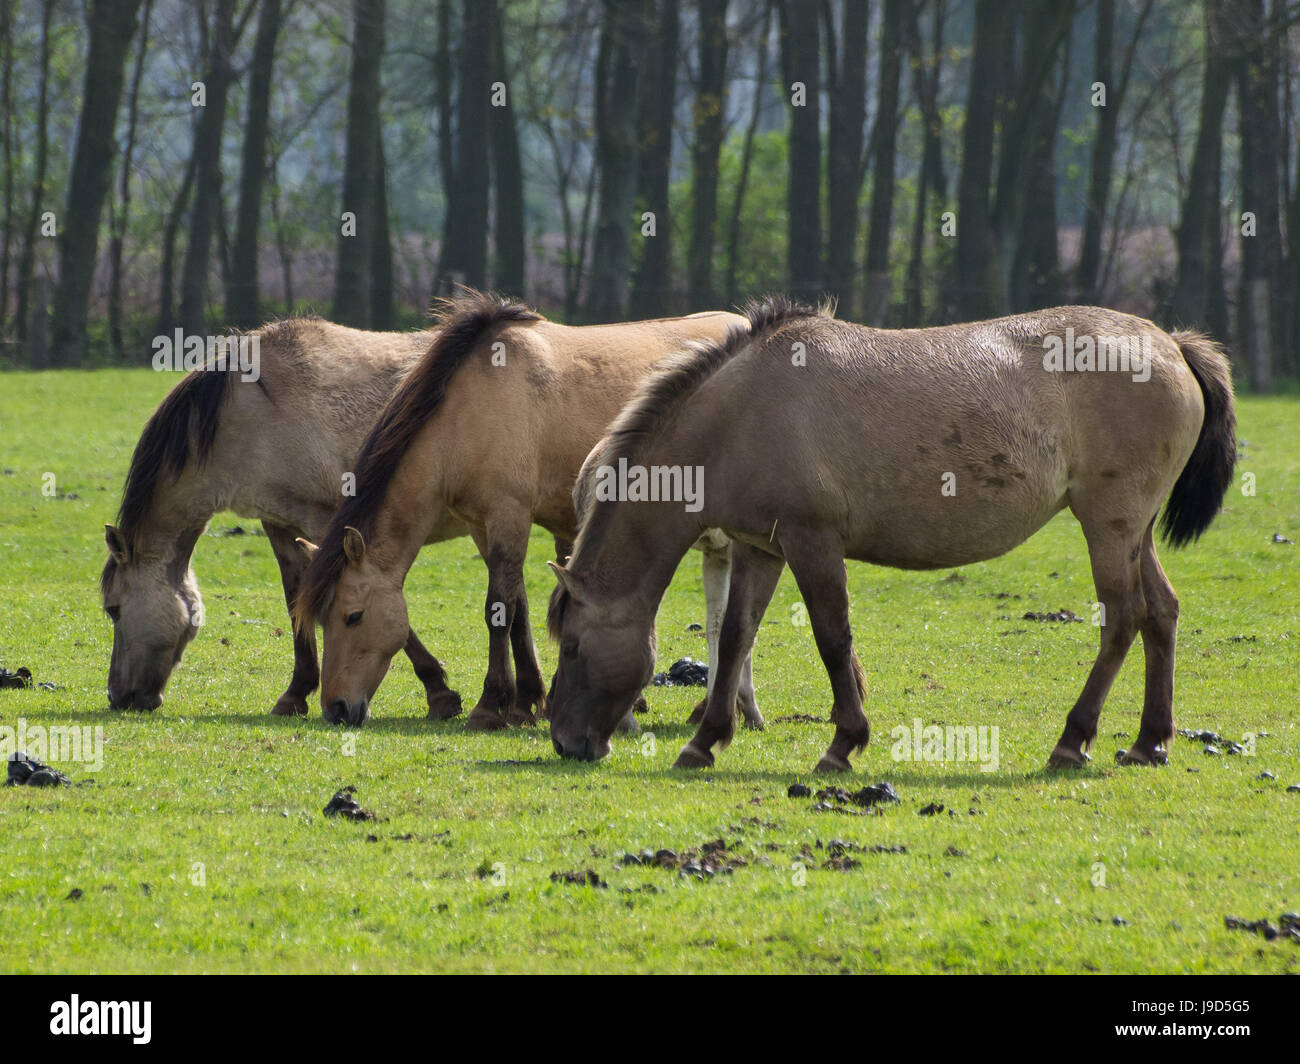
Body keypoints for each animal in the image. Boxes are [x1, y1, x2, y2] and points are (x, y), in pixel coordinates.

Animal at [101, 318, 464, 718]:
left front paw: (439, 691)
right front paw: (296, 693)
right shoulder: (280, 523)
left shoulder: (334, 526)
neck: (255, 416)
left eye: (113, 609)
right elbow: (296, 598)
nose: (117, 696)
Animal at [293, 292, 761, 731]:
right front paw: (525, 702)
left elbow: (497, 610)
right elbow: (516, 610)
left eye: (353, 616)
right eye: (323, 620)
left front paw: (489, 706)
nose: (336, 708)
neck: (471, 407)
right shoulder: (483, 526)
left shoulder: (509, 515)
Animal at [545, 297, 1236, 773]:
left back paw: (1073, 740)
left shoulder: (812, 543)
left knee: (1123, 616)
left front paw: (843, 744)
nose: (563, 739)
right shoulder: (759, 548)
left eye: (573, 646)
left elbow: (832, 637)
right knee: (1161, 614)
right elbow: (737, 637)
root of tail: (1170, 344)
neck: (739, 414)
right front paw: (705, 740)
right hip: (1134, 532)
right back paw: (1149, 742)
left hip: (1108, 525)